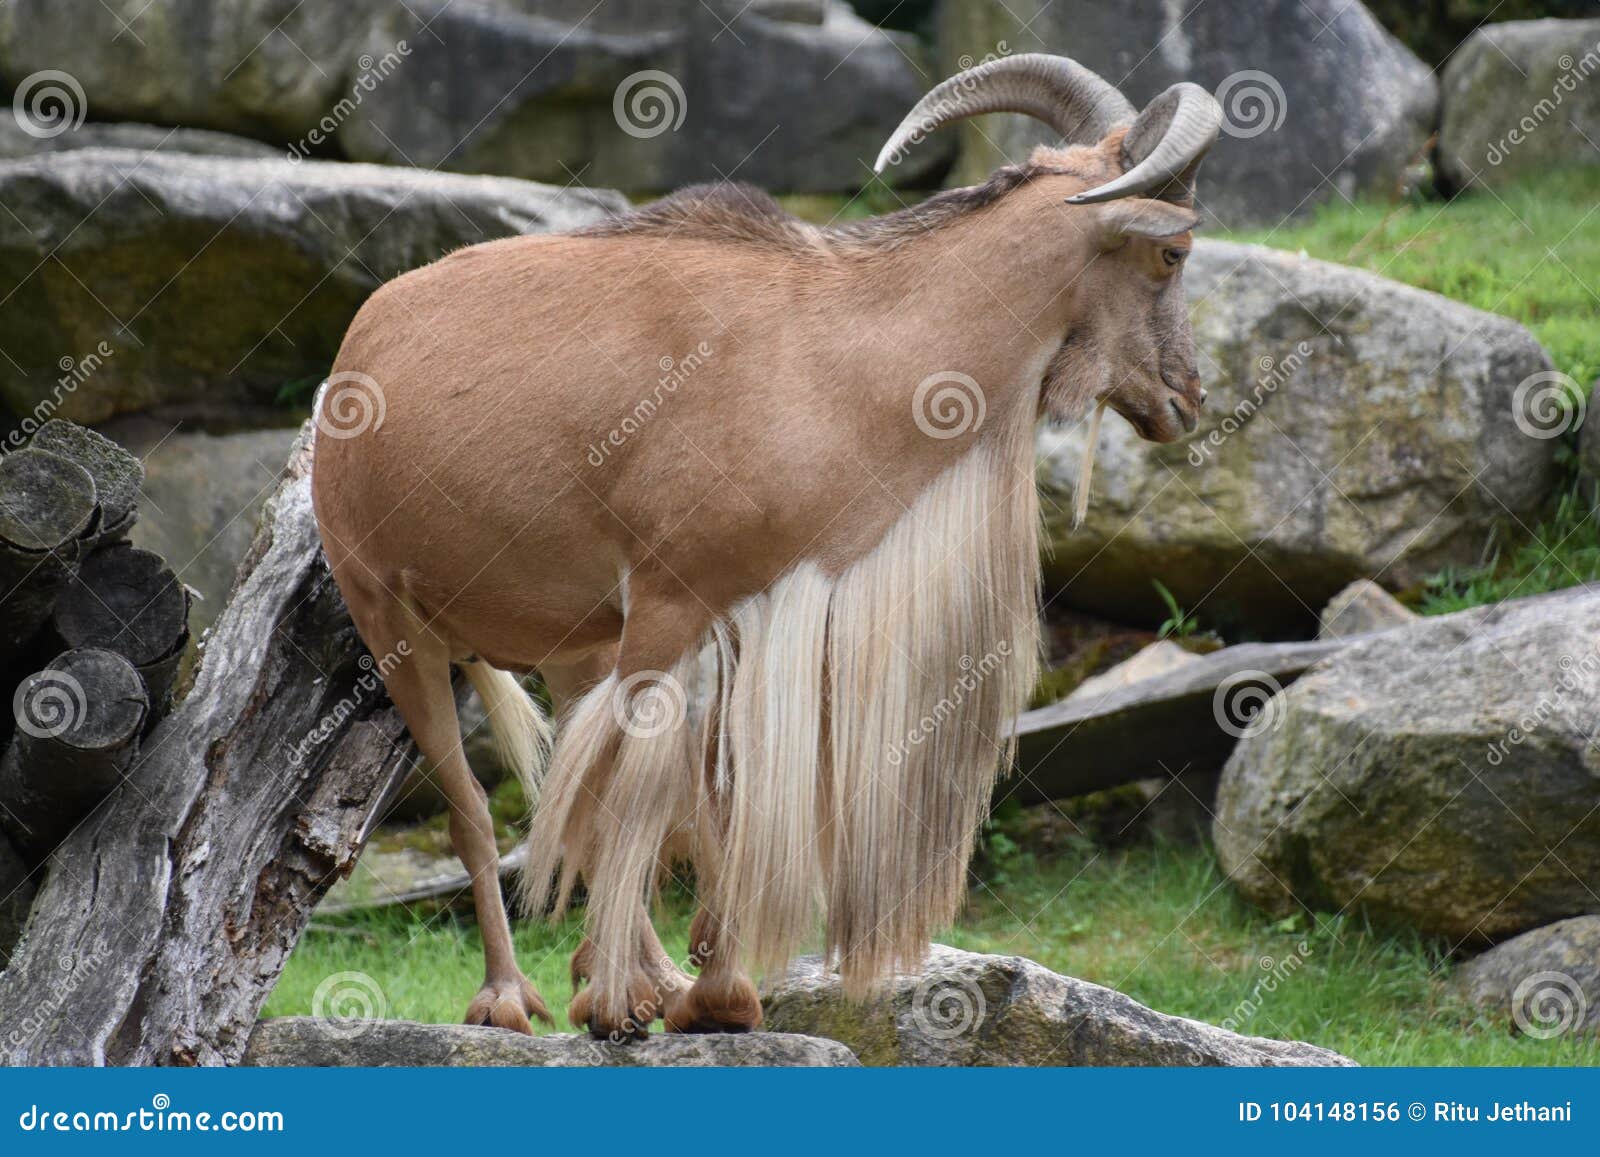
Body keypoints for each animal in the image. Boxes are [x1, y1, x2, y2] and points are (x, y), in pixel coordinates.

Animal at [311, 53, 1221, 1038]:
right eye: (1172, 254)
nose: (1189, 400)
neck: (829, 354)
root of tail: (361, 339)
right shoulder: (670, 601)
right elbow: (646, 791)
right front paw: (646, 998)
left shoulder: (742, 609)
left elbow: (707, 793)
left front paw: (708, 991)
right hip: (391, 617)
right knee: (476, 810)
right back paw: (514, 997)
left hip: (570, 642)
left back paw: (629, 974)